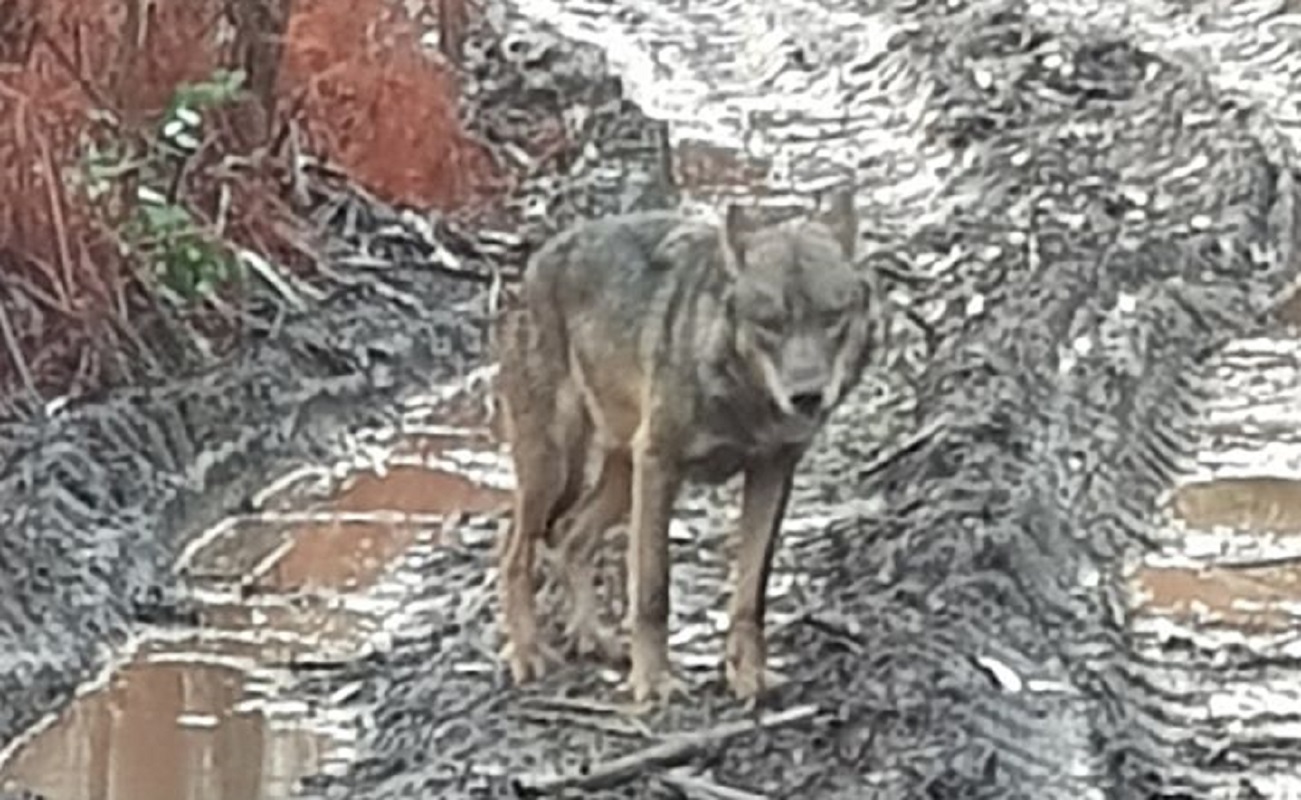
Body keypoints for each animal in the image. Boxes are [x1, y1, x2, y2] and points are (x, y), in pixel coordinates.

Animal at [494, 189, 873, 704]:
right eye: (770, 324)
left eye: (832, 318)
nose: (808, 396)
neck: (746, 399)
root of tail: (536, 261)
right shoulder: (660, 465)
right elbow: (654, 589)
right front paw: (653, 682)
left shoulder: (773, 472)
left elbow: (750, 594)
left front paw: (747, 674)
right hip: (553, 469)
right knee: (514, 552)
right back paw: (529, 653)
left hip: (620, 474)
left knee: (572, 535)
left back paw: (593, 638)